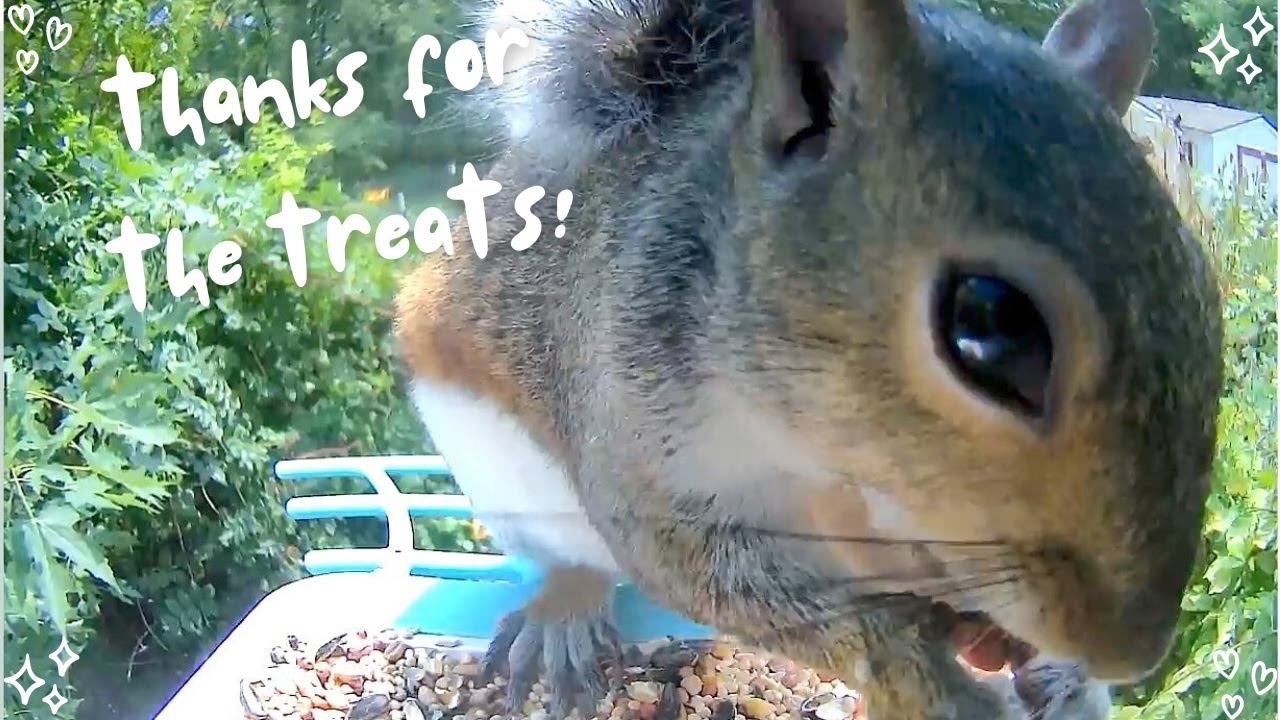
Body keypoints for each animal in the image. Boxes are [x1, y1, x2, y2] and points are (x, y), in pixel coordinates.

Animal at [393, 0, 1224, 718]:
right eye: (989, 323)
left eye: (1203, 285)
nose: (1130, 651)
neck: (834, 454)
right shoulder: (634, 437)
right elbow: (719, 578)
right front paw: (925, 678)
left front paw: (1062, 677)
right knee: (572, 559)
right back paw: (563, 616)